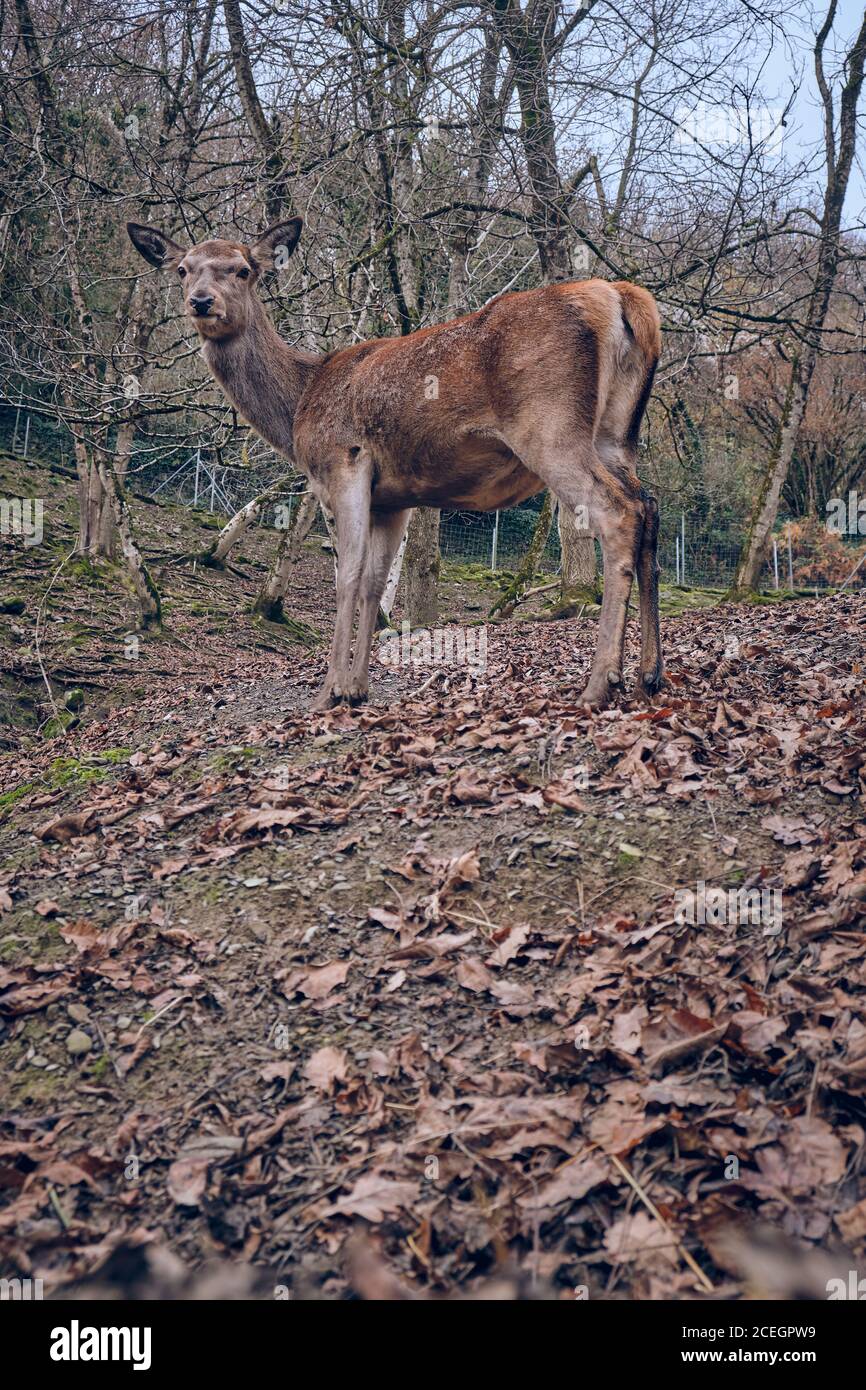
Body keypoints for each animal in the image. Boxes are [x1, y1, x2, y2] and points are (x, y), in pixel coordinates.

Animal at [127, 217, 663, 712]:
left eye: (242, 270)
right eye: (182, 269)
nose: (201, 302)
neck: (299, 404)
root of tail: (619, 297)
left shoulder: (345, 459)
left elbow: (346, 575)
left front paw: (326, 693)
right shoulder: (395, 497)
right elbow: (373, 583)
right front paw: (356, 689)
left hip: (550, 427)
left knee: (618, 511)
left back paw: (599, 684)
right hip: (617, 437)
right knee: (648, 504)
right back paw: (649, 675)